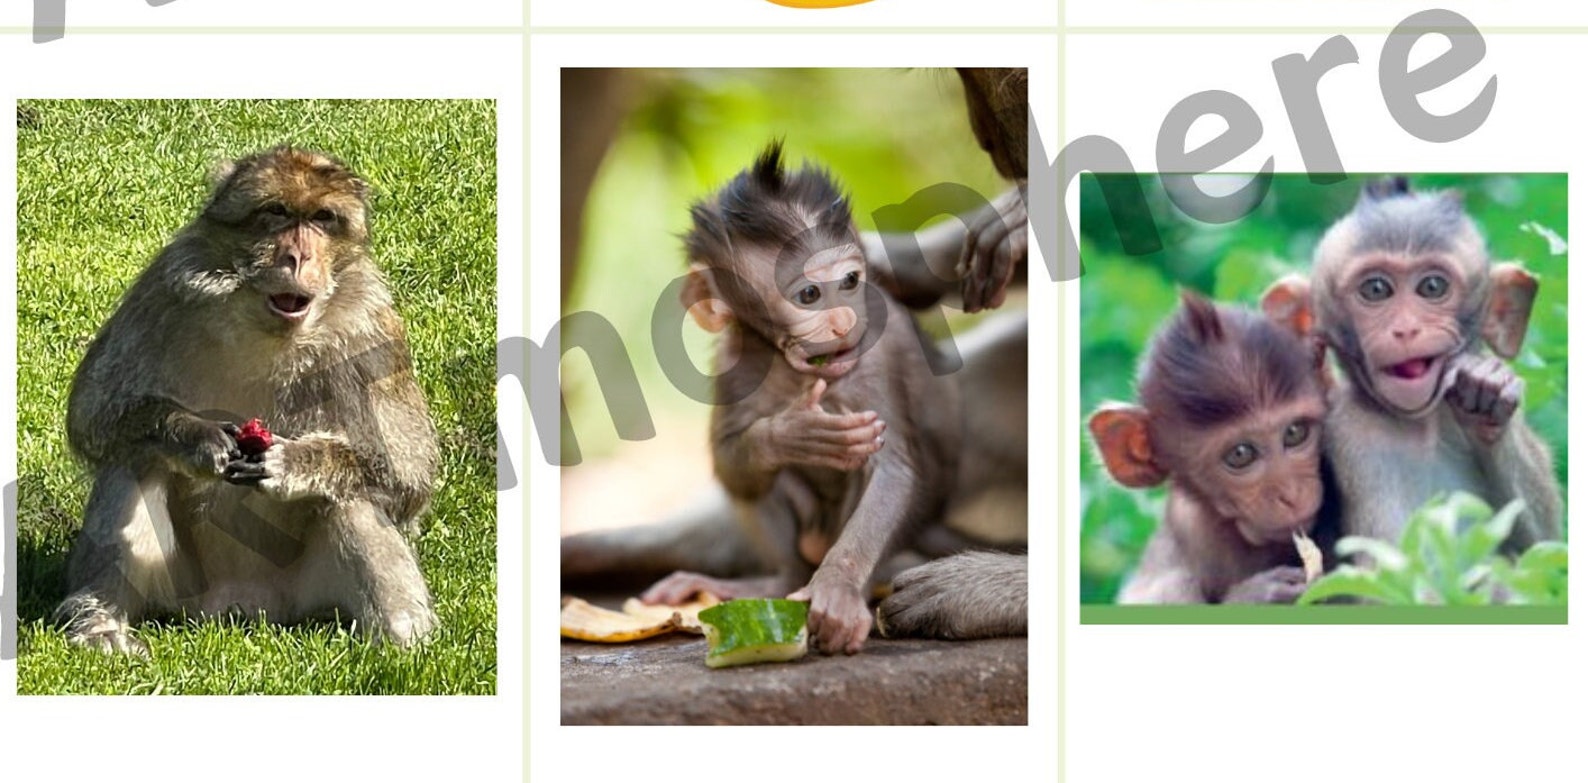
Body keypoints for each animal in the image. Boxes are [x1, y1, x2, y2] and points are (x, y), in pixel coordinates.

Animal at [55, 146, 440, 655]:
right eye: (276, 213)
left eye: (322, 218)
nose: (298, 256)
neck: (265, 325)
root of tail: (243, 605)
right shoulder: (162, 290)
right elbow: (92, 414)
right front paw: (195, 437)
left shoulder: (374, 326)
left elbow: (408, 475)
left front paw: (294, 462)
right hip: (182, 587)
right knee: (134, 457)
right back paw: (99, 622)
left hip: (308, 594)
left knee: (351, 495)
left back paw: (401, 640)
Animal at [1261, 177, 1562, 554]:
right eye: (1376, 289)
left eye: (1432, 286)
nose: (1406, 328)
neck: (1420, 427)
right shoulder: (1351, 436)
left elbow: (1545, 545)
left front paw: (1487, 396)